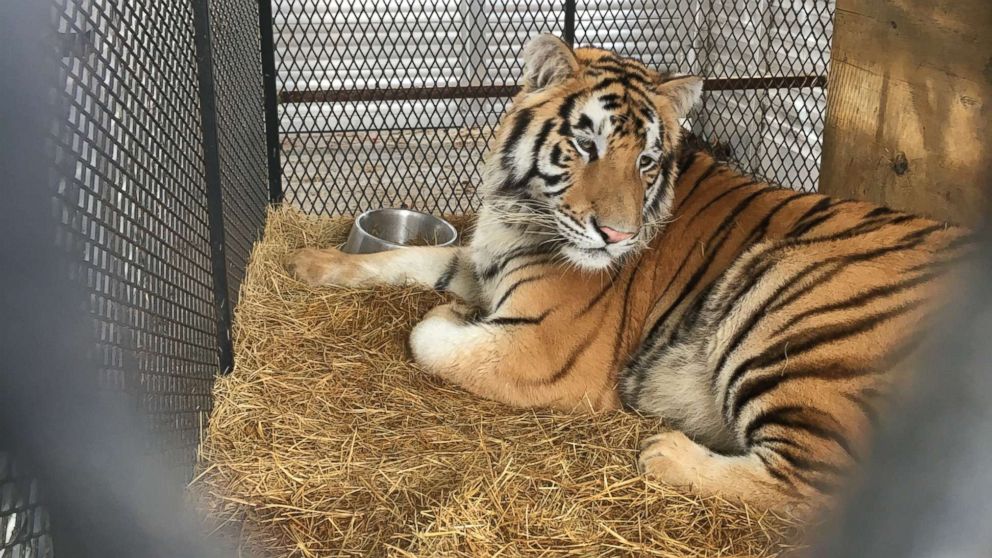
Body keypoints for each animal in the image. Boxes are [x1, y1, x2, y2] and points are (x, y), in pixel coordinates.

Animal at [286, 34, 972, 512]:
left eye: (646, 160)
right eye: (585, 145)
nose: (617, 235)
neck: (518, 212)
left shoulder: (544, 348)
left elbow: (427, 338)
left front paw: (451, 314)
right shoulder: (480, 258)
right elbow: (401, 258)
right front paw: (312, 262)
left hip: (787, 292)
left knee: (818, 487)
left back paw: (667, 453)